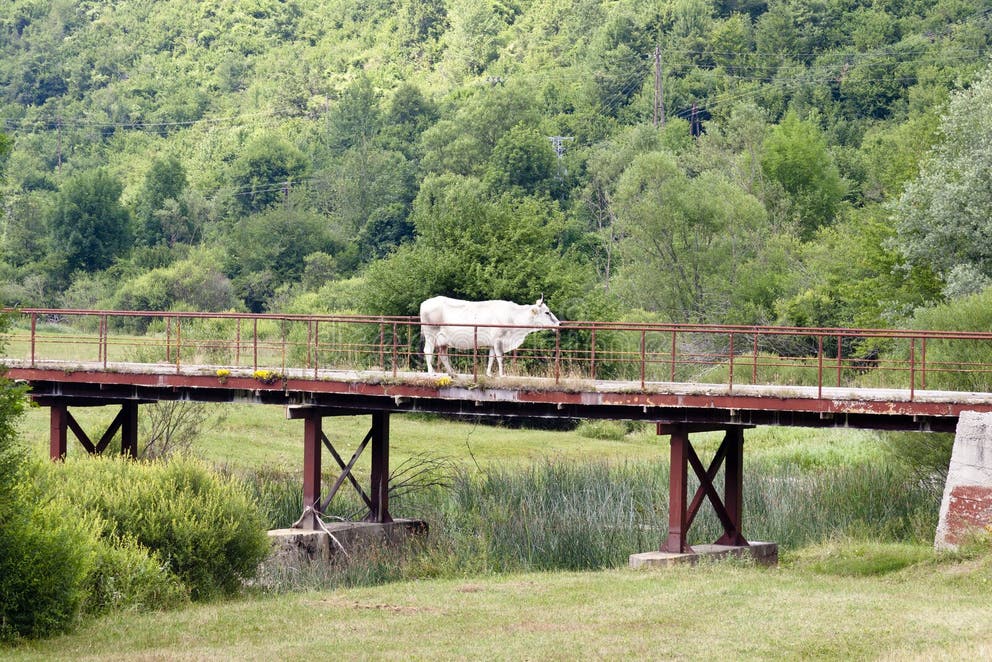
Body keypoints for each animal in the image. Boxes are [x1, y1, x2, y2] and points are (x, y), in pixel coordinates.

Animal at [419, 296, 561, 377]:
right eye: (547, 312)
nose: (559, 323)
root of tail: (425, 303)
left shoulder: (493, 343)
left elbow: (491, 358)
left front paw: (488, 374)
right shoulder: (498, 340)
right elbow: (500, 358)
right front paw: (502, 375)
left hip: (443, 340)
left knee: (443, 355)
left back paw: (452, 373)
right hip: (431, 334)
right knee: (428, 351)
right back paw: (431, 372)